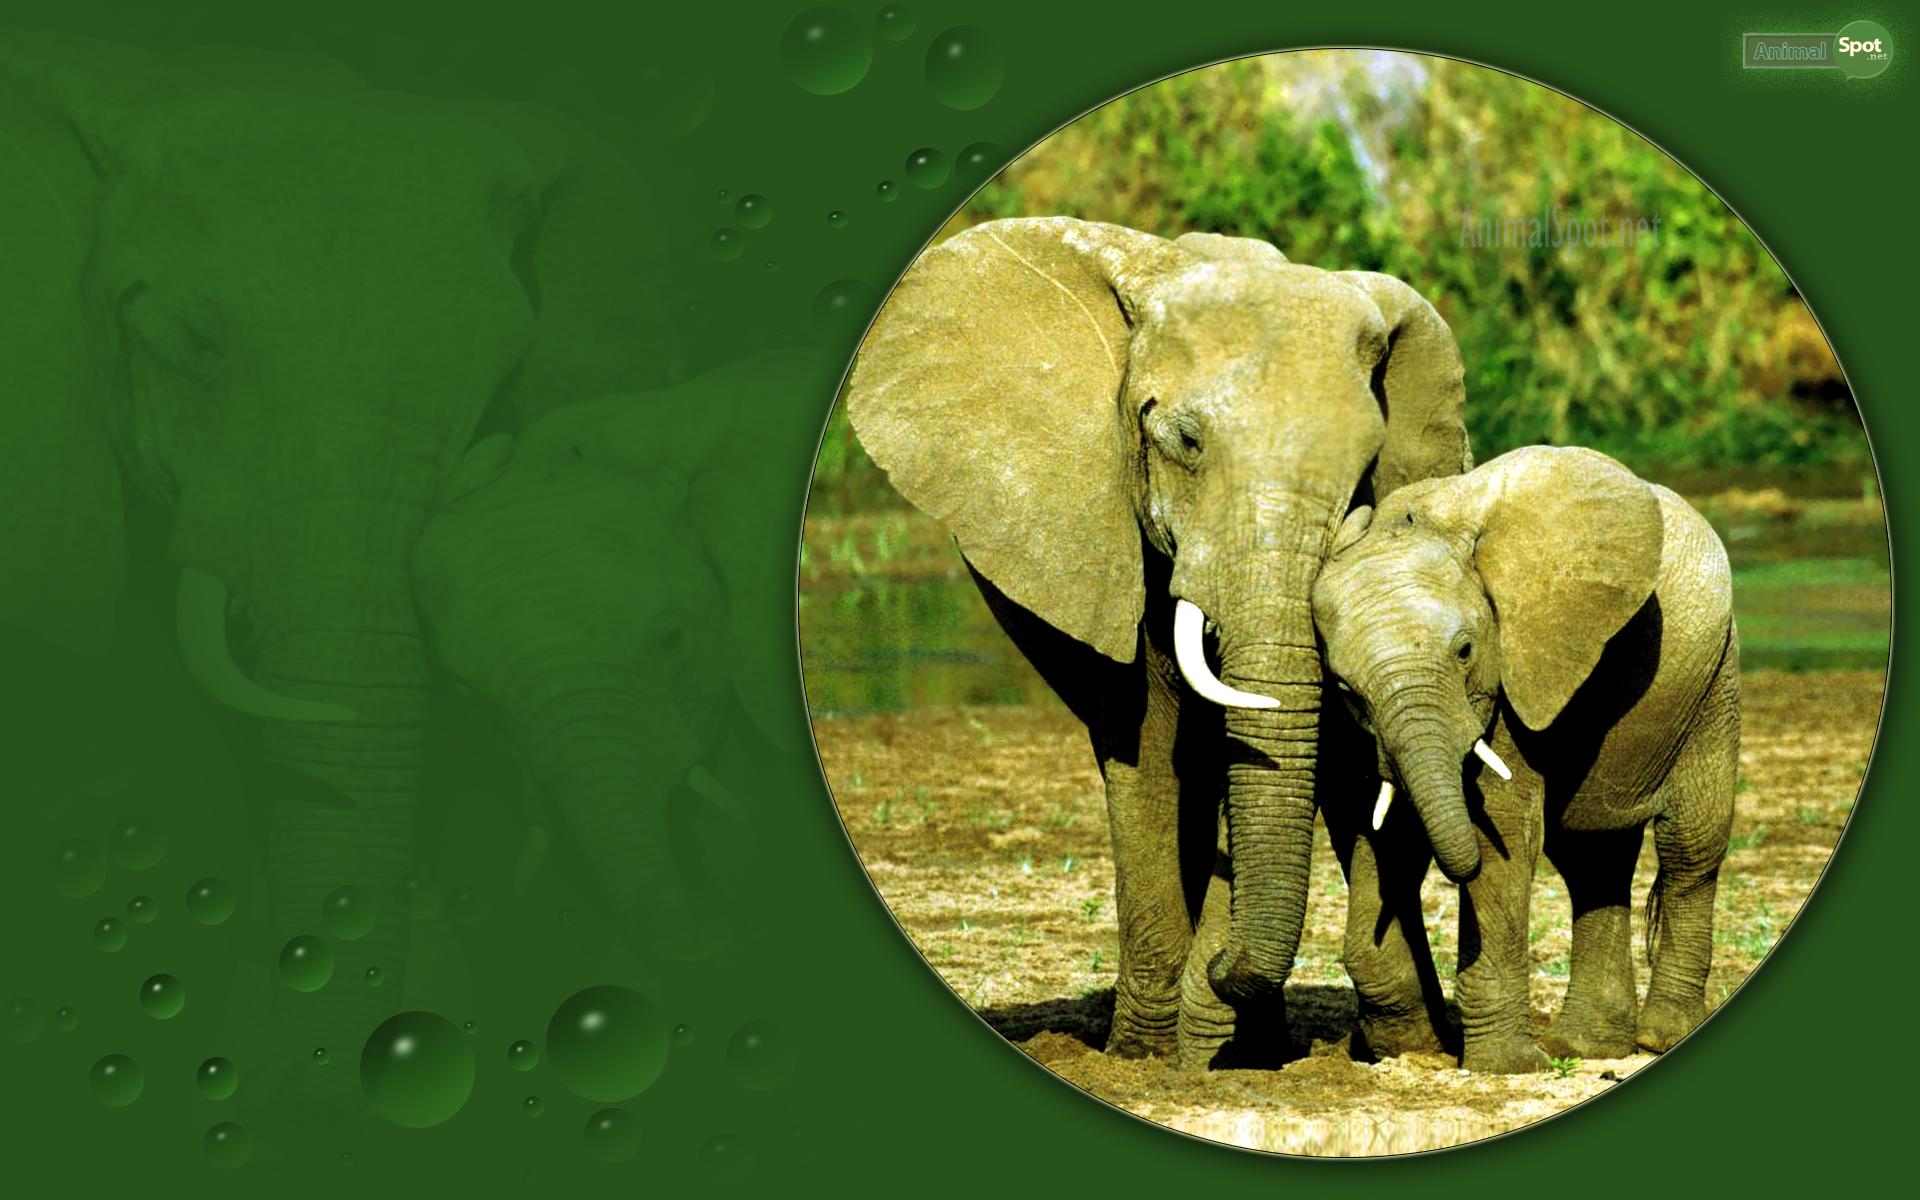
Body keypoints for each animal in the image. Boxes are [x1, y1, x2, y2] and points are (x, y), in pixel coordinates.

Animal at [843, 216, 1472, 1060]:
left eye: (1368, 467)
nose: (1226, 960)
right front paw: (1147, 1055)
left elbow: (1339, 743)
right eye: (1185, 442)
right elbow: (1143, 739)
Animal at [1310, 445, 1739, 1071]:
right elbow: (1384, 830)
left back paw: (1659, 1038)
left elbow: (1501, 835)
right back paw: (1586, 1047)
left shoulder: (1517, 670)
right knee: (1593, 860)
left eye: (1466, 651)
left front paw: (1504, 1067)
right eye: (1344, 688)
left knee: (1690, 848)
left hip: (1713, 681)